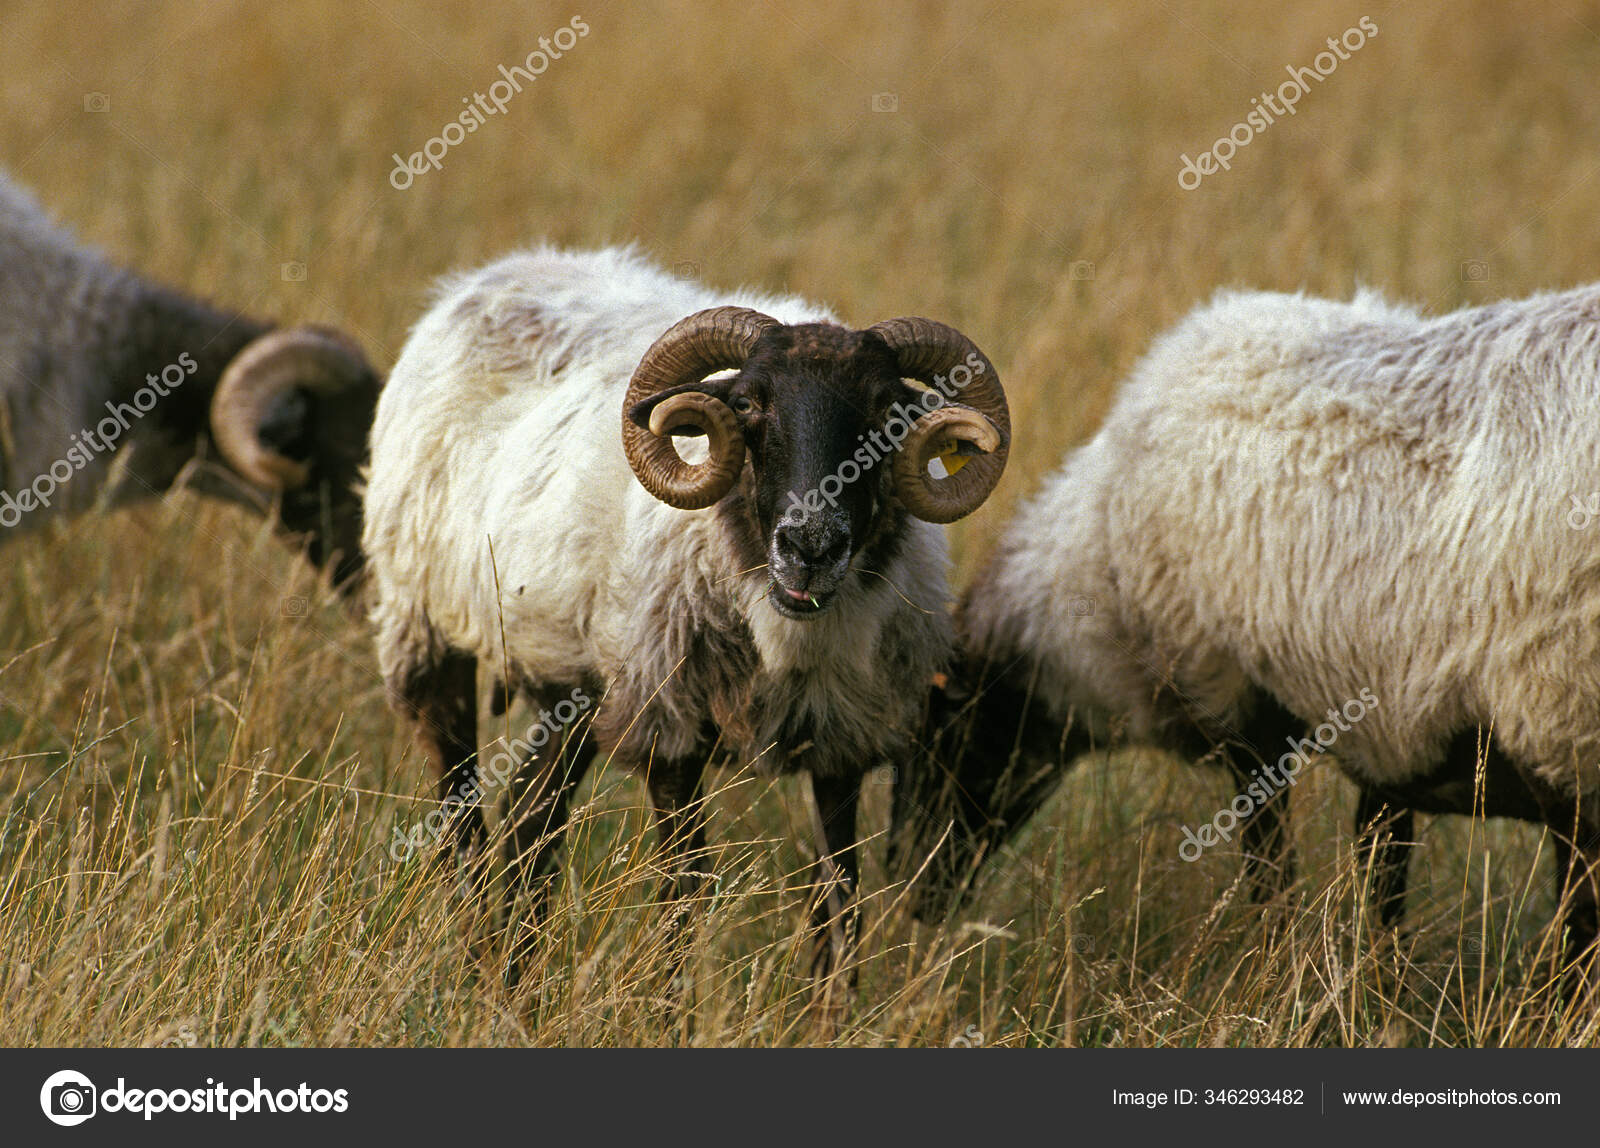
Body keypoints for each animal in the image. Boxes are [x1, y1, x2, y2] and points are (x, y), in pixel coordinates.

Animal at [362, 244, 1010, 978]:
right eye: (749, 403)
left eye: (890, 414)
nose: (809, 547)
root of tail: (495, 273)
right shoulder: (669, 733)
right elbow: (682, 896)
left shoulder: (841, 741)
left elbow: (839, 906)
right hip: (423, 629)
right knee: (461, 819)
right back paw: (472, 958)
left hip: (573, 688)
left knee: (529, 827)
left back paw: (512, 979)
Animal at [891, 281, 1600, 976]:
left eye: (942, 736)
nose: (905, 892)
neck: (1100, 560)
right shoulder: (1391, 736)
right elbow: (1381, 878)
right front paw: (1378, 984)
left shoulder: (1244, 711)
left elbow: (1272, 873)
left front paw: (1276, 963)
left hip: (1564, 712)